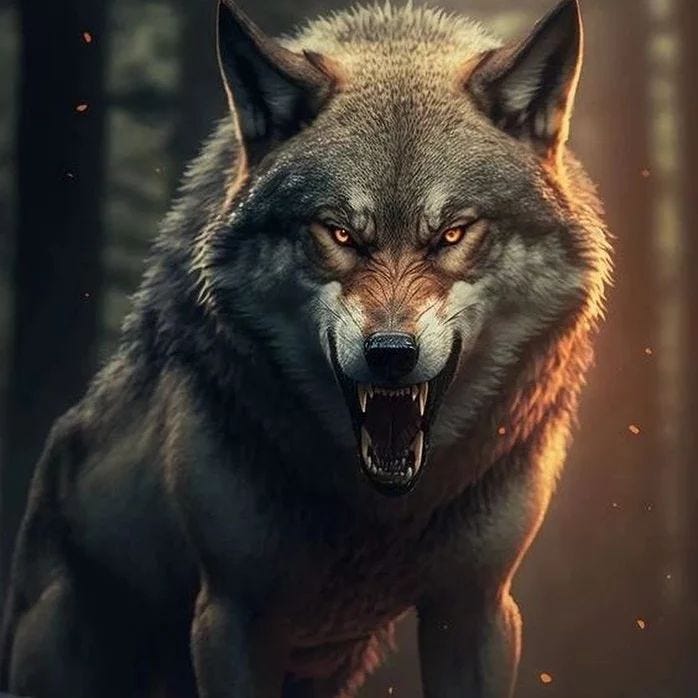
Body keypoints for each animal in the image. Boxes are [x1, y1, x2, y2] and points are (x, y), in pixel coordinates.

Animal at [0, 0, 610, 696]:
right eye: (339, 233)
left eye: (453, 233)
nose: (391, 351)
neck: (378, 516)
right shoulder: (234, 615)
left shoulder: (475, 607)